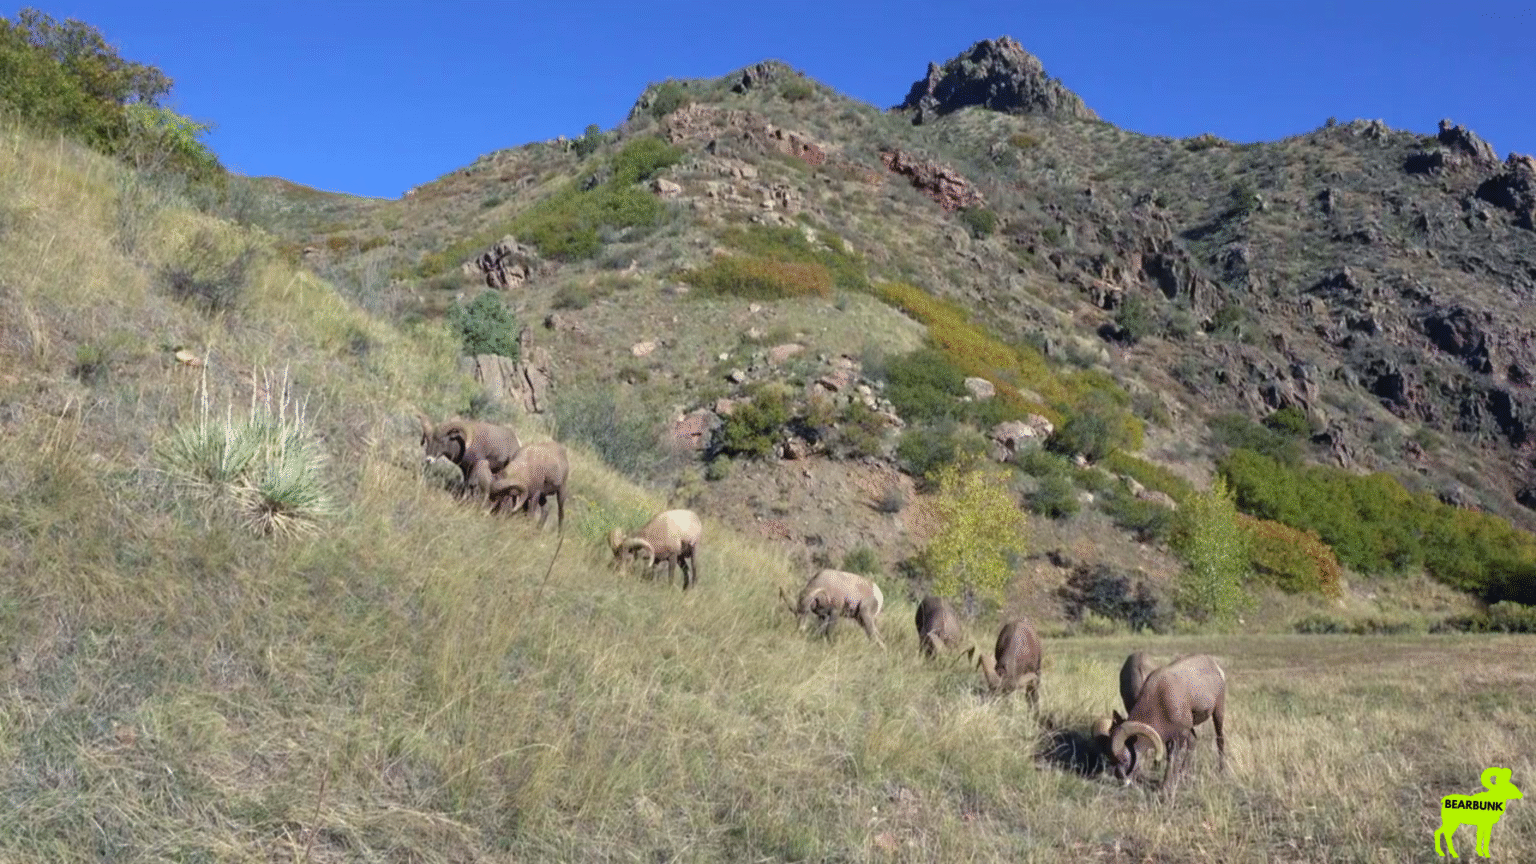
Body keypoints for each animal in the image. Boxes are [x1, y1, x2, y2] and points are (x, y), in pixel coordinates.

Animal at [1100, 653, 1227, 788]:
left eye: (1124, 759)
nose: (1122, 780)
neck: (1160, 698)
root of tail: (1216, 666)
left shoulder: (1179, 736)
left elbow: (1172, 758)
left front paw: (1166, 786)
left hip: (1218, 713)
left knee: (1219, 739)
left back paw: (1221, 770)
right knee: (1193, 742)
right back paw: (1184, 773)